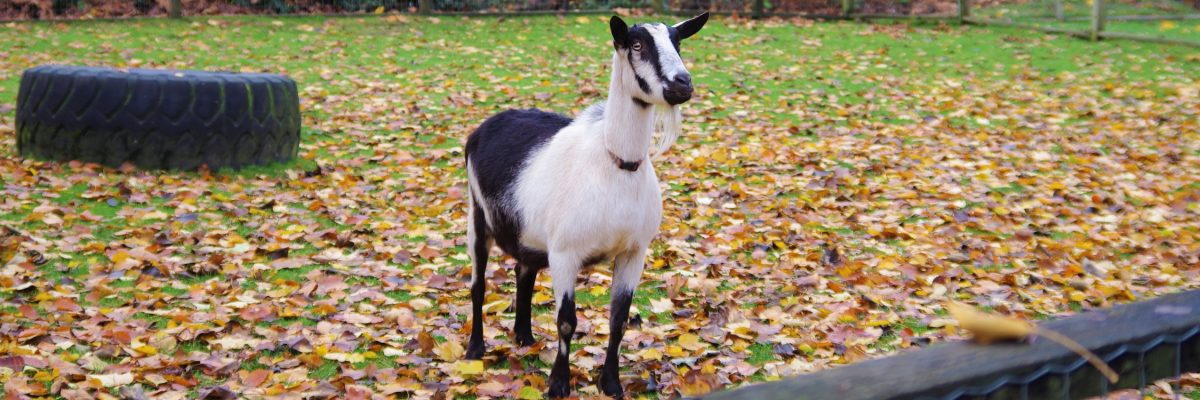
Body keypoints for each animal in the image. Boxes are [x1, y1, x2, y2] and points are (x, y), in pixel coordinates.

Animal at [463, 13, 709, 398]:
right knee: (478, 285)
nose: (682, 84)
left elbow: (618, 320)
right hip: (476, 216)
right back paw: (475, 348)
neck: (615, 163)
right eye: (636, 45)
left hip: (530, 232)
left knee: (524, 272)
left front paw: (611, 383)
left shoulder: (634, 252)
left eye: (678, 41)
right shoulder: (566, 253)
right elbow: (566, 321)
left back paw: (525, 337)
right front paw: (558, 384)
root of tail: (486, 126)